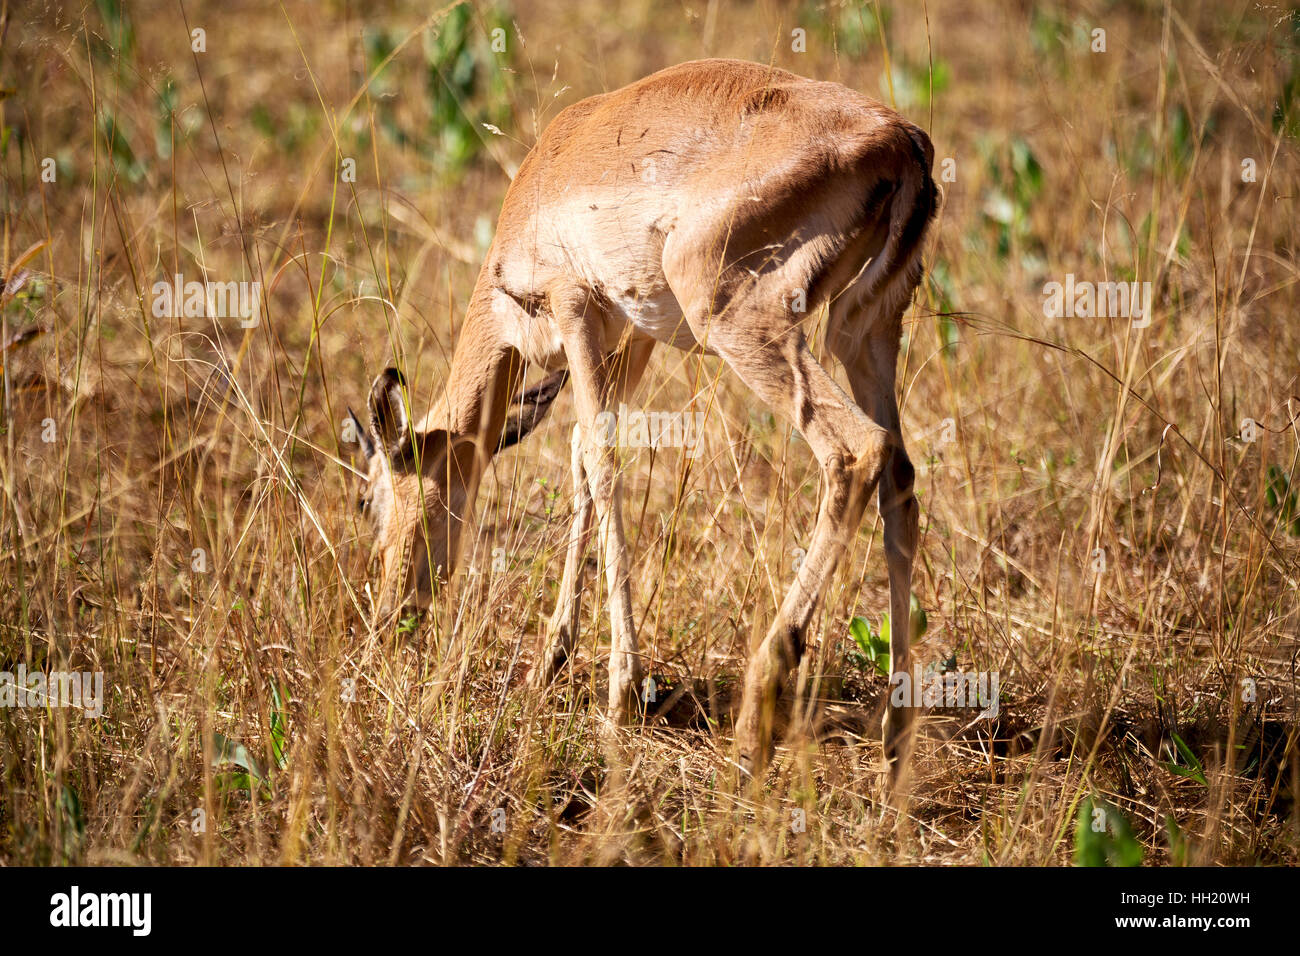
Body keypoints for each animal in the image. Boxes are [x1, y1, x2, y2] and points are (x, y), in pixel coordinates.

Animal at [349, 59, 937, 774]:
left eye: (368, 499)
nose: (387, 619)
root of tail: (902, 140)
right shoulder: (632, 341)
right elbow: (580, 455)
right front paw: (551, 659)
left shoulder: (575, 308)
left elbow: (601, 464)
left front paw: (620, 695)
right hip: (864, 332)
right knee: (901, 479)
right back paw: (896, 740)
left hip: (741, 323)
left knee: (857, 453)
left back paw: (757, 712)